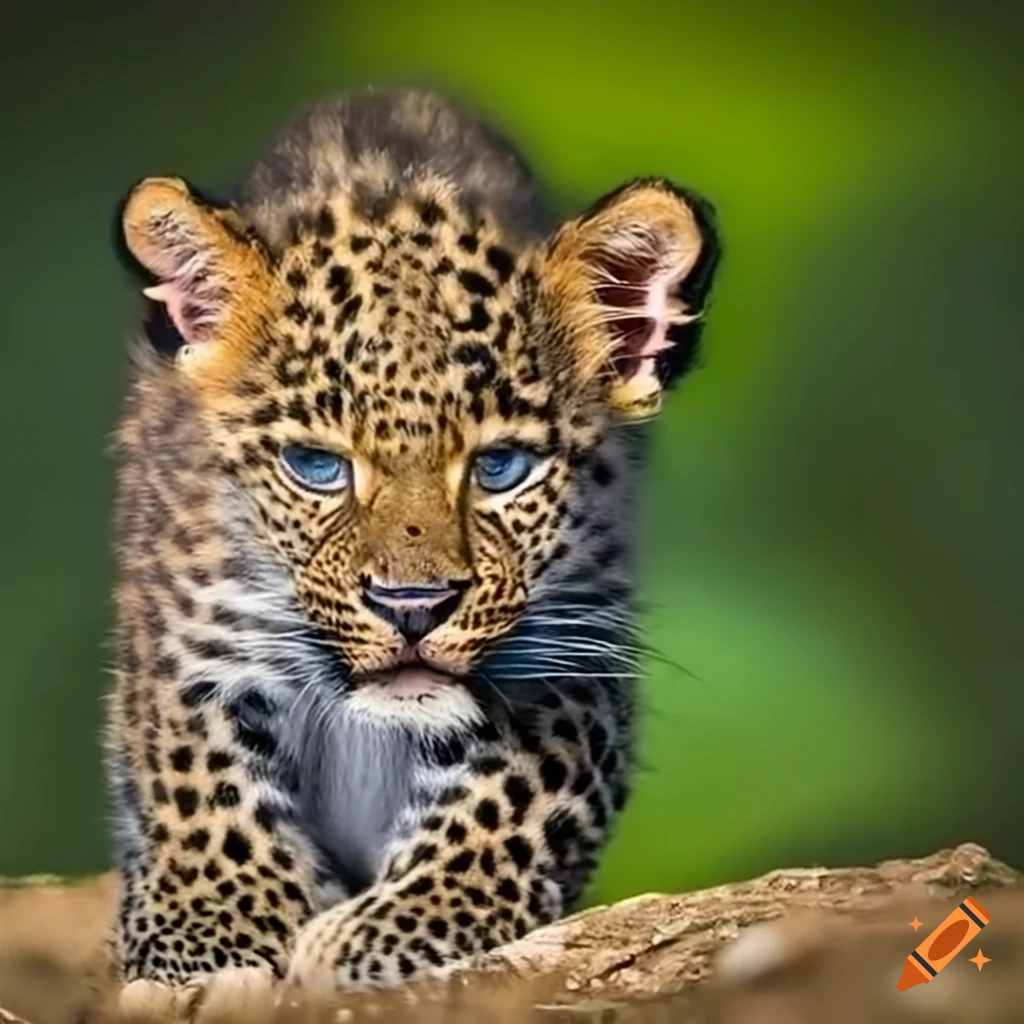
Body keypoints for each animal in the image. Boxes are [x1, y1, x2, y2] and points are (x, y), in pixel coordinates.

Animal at [106, 88, 720, 1013]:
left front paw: (392, 933)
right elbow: (197, 774)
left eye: (501, 467)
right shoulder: (189, 625)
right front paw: (205, 947)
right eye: (317, 466)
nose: (413, 608)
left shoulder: (576, 643)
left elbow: (512, 793)